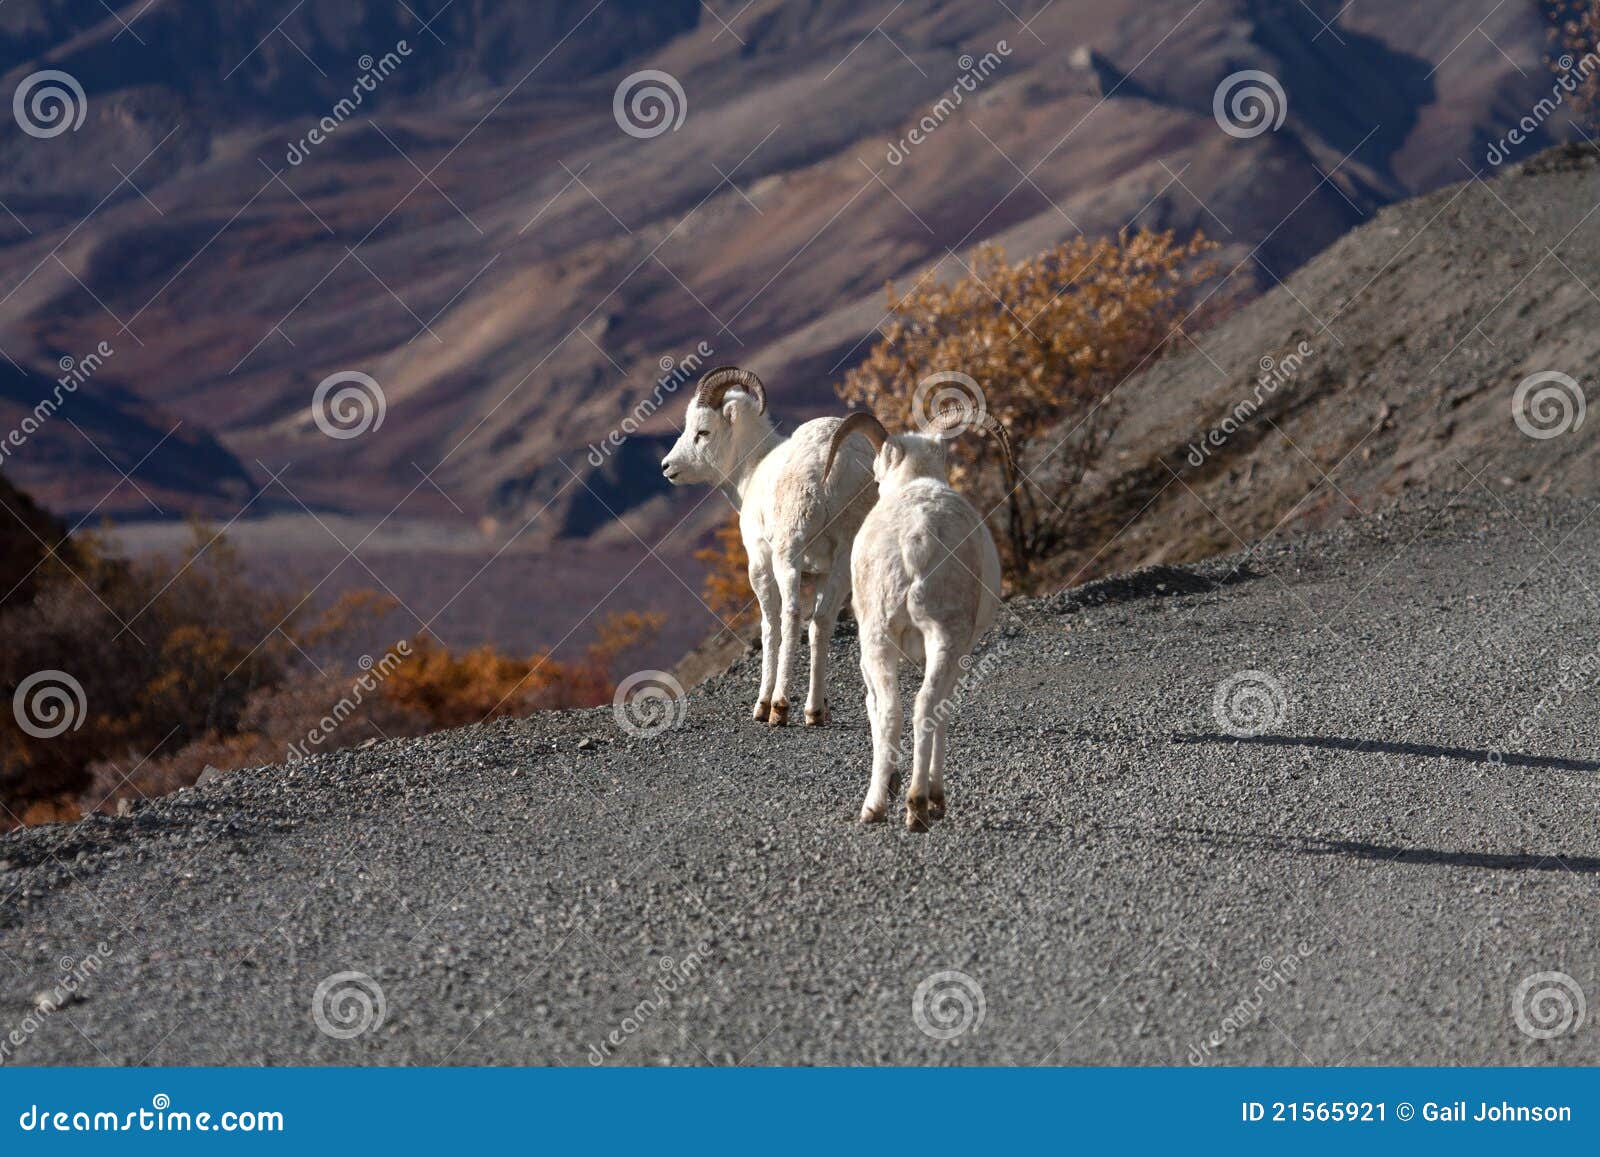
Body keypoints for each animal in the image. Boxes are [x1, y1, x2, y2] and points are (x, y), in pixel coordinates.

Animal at [661, 367, 877, 727]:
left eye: (702, 431)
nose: (667, 467)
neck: (752, 471)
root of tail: (839, 463)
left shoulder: (759, 565)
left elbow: (769, 627)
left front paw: (761, 706)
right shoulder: (821, 570)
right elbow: (818, 623)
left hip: (788, 555)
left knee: (791, 616)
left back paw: (779, 706)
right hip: (845, 557)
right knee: (822, 621)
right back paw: (814, 711)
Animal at [824, 408, 1009, 830]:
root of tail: (915, 540)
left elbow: (875, 706)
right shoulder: (962, 651)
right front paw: (937, 797)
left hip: (879, 637)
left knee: (893, 709)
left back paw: (880, 807)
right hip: (944, 637)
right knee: (924, 706)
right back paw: (919, 804)